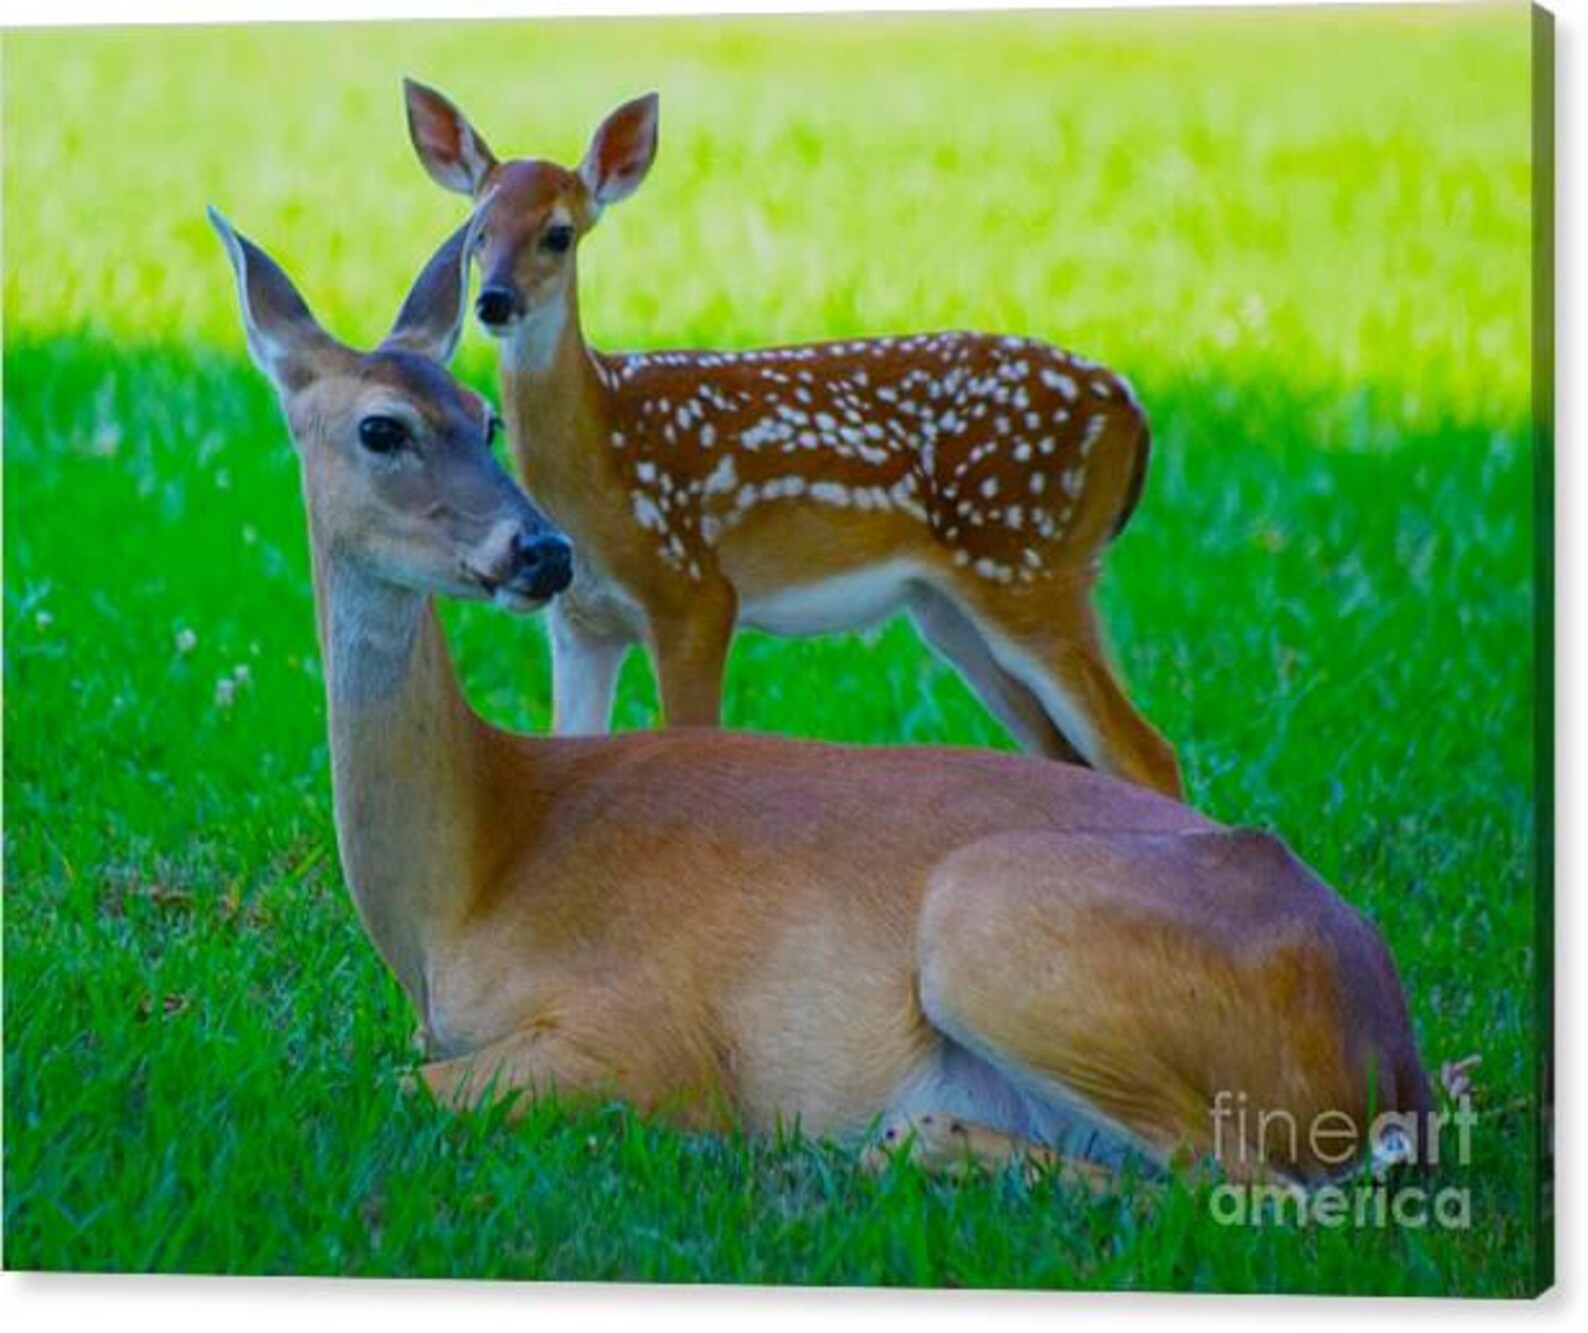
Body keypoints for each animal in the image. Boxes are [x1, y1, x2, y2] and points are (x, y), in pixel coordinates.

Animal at [210, 202, 1434, 1188]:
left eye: (486, 416)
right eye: (383, 426)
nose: (543, 551)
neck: (468, 873)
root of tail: (1394, 1066)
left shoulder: (641, 1029)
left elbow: (378, 1085)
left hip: (988, 915)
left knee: (1240, 1180)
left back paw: (904, 1140)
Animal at [403, 79, 1184, 799]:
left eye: (559, 234)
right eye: (476, 234)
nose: (494, 301)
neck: (604, 452)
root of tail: (1130, 403)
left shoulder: (694, 592)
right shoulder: (579, 622)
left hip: (1029, 564)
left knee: (1148, 752)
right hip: (953, 609)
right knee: (1068, 755)